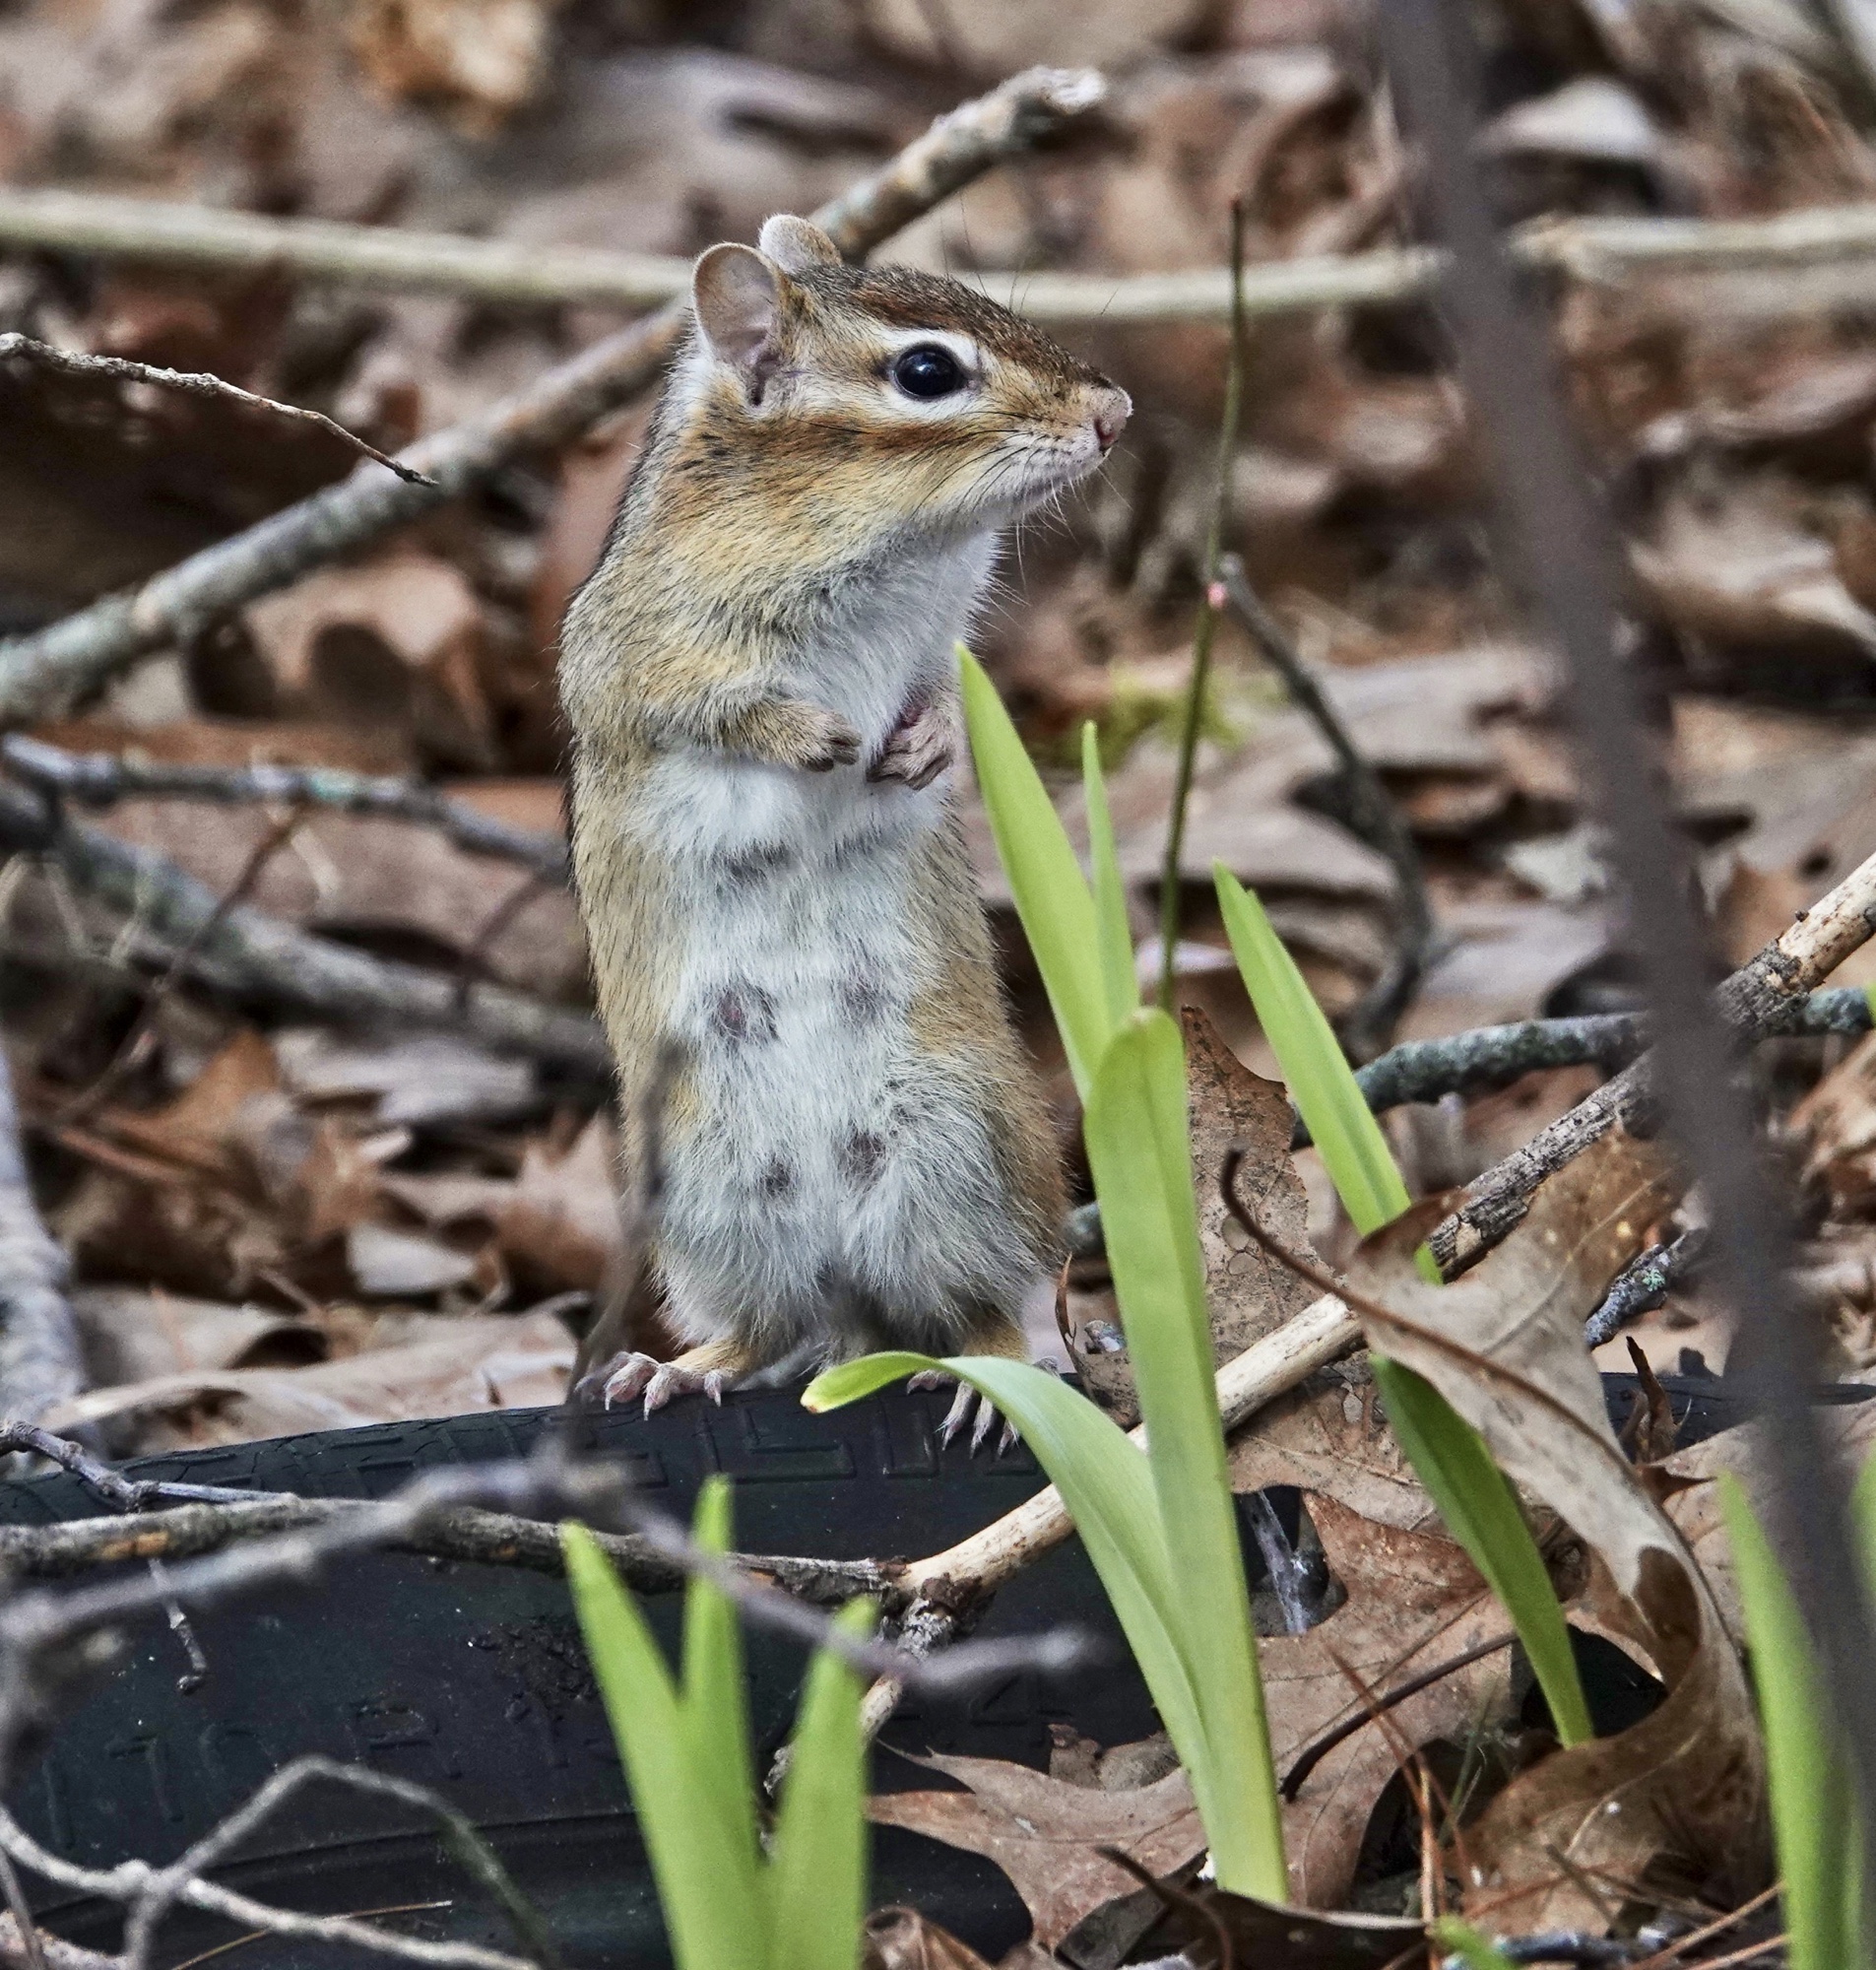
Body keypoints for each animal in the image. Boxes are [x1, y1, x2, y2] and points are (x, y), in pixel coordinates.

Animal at [558, 213, 1131, 1439]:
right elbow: (699, 705)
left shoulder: (938, 646)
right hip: (714, 1198)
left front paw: (921, 750)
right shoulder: (637, 659)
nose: (1114, 412)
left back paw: (985, 1381)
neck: (893, 555)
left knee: (982, 1311)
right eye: (925, 372)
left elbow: (946, 699)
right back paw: (685, 1365)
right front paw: (804, 733)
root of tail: (854, 1298)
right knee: (770, 1325)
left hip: (951, 1151)